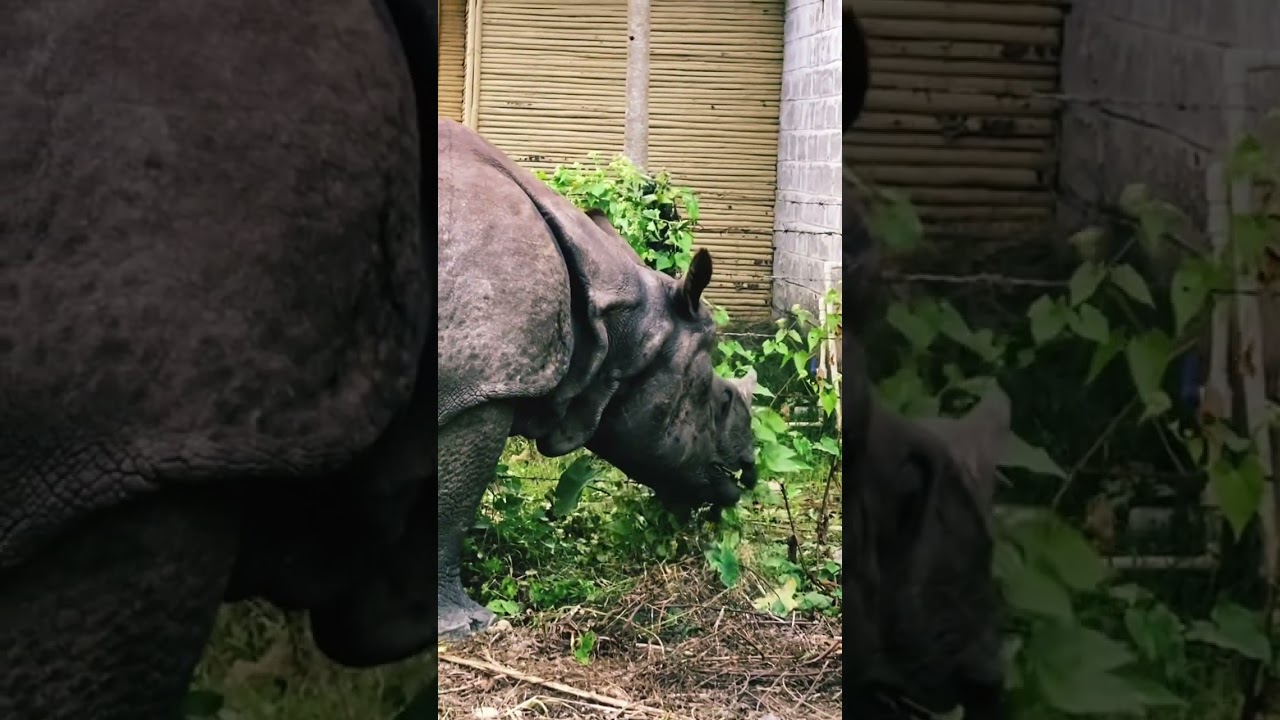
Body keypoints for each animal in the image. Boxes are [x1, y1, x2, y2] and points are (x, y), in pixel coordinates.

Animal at [437, 118, 759, 639]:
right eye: (723, 399)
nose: (749, 469)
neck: (620, 329)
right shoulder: (480, 386)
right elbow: (451, 504)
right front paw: (466, 627)